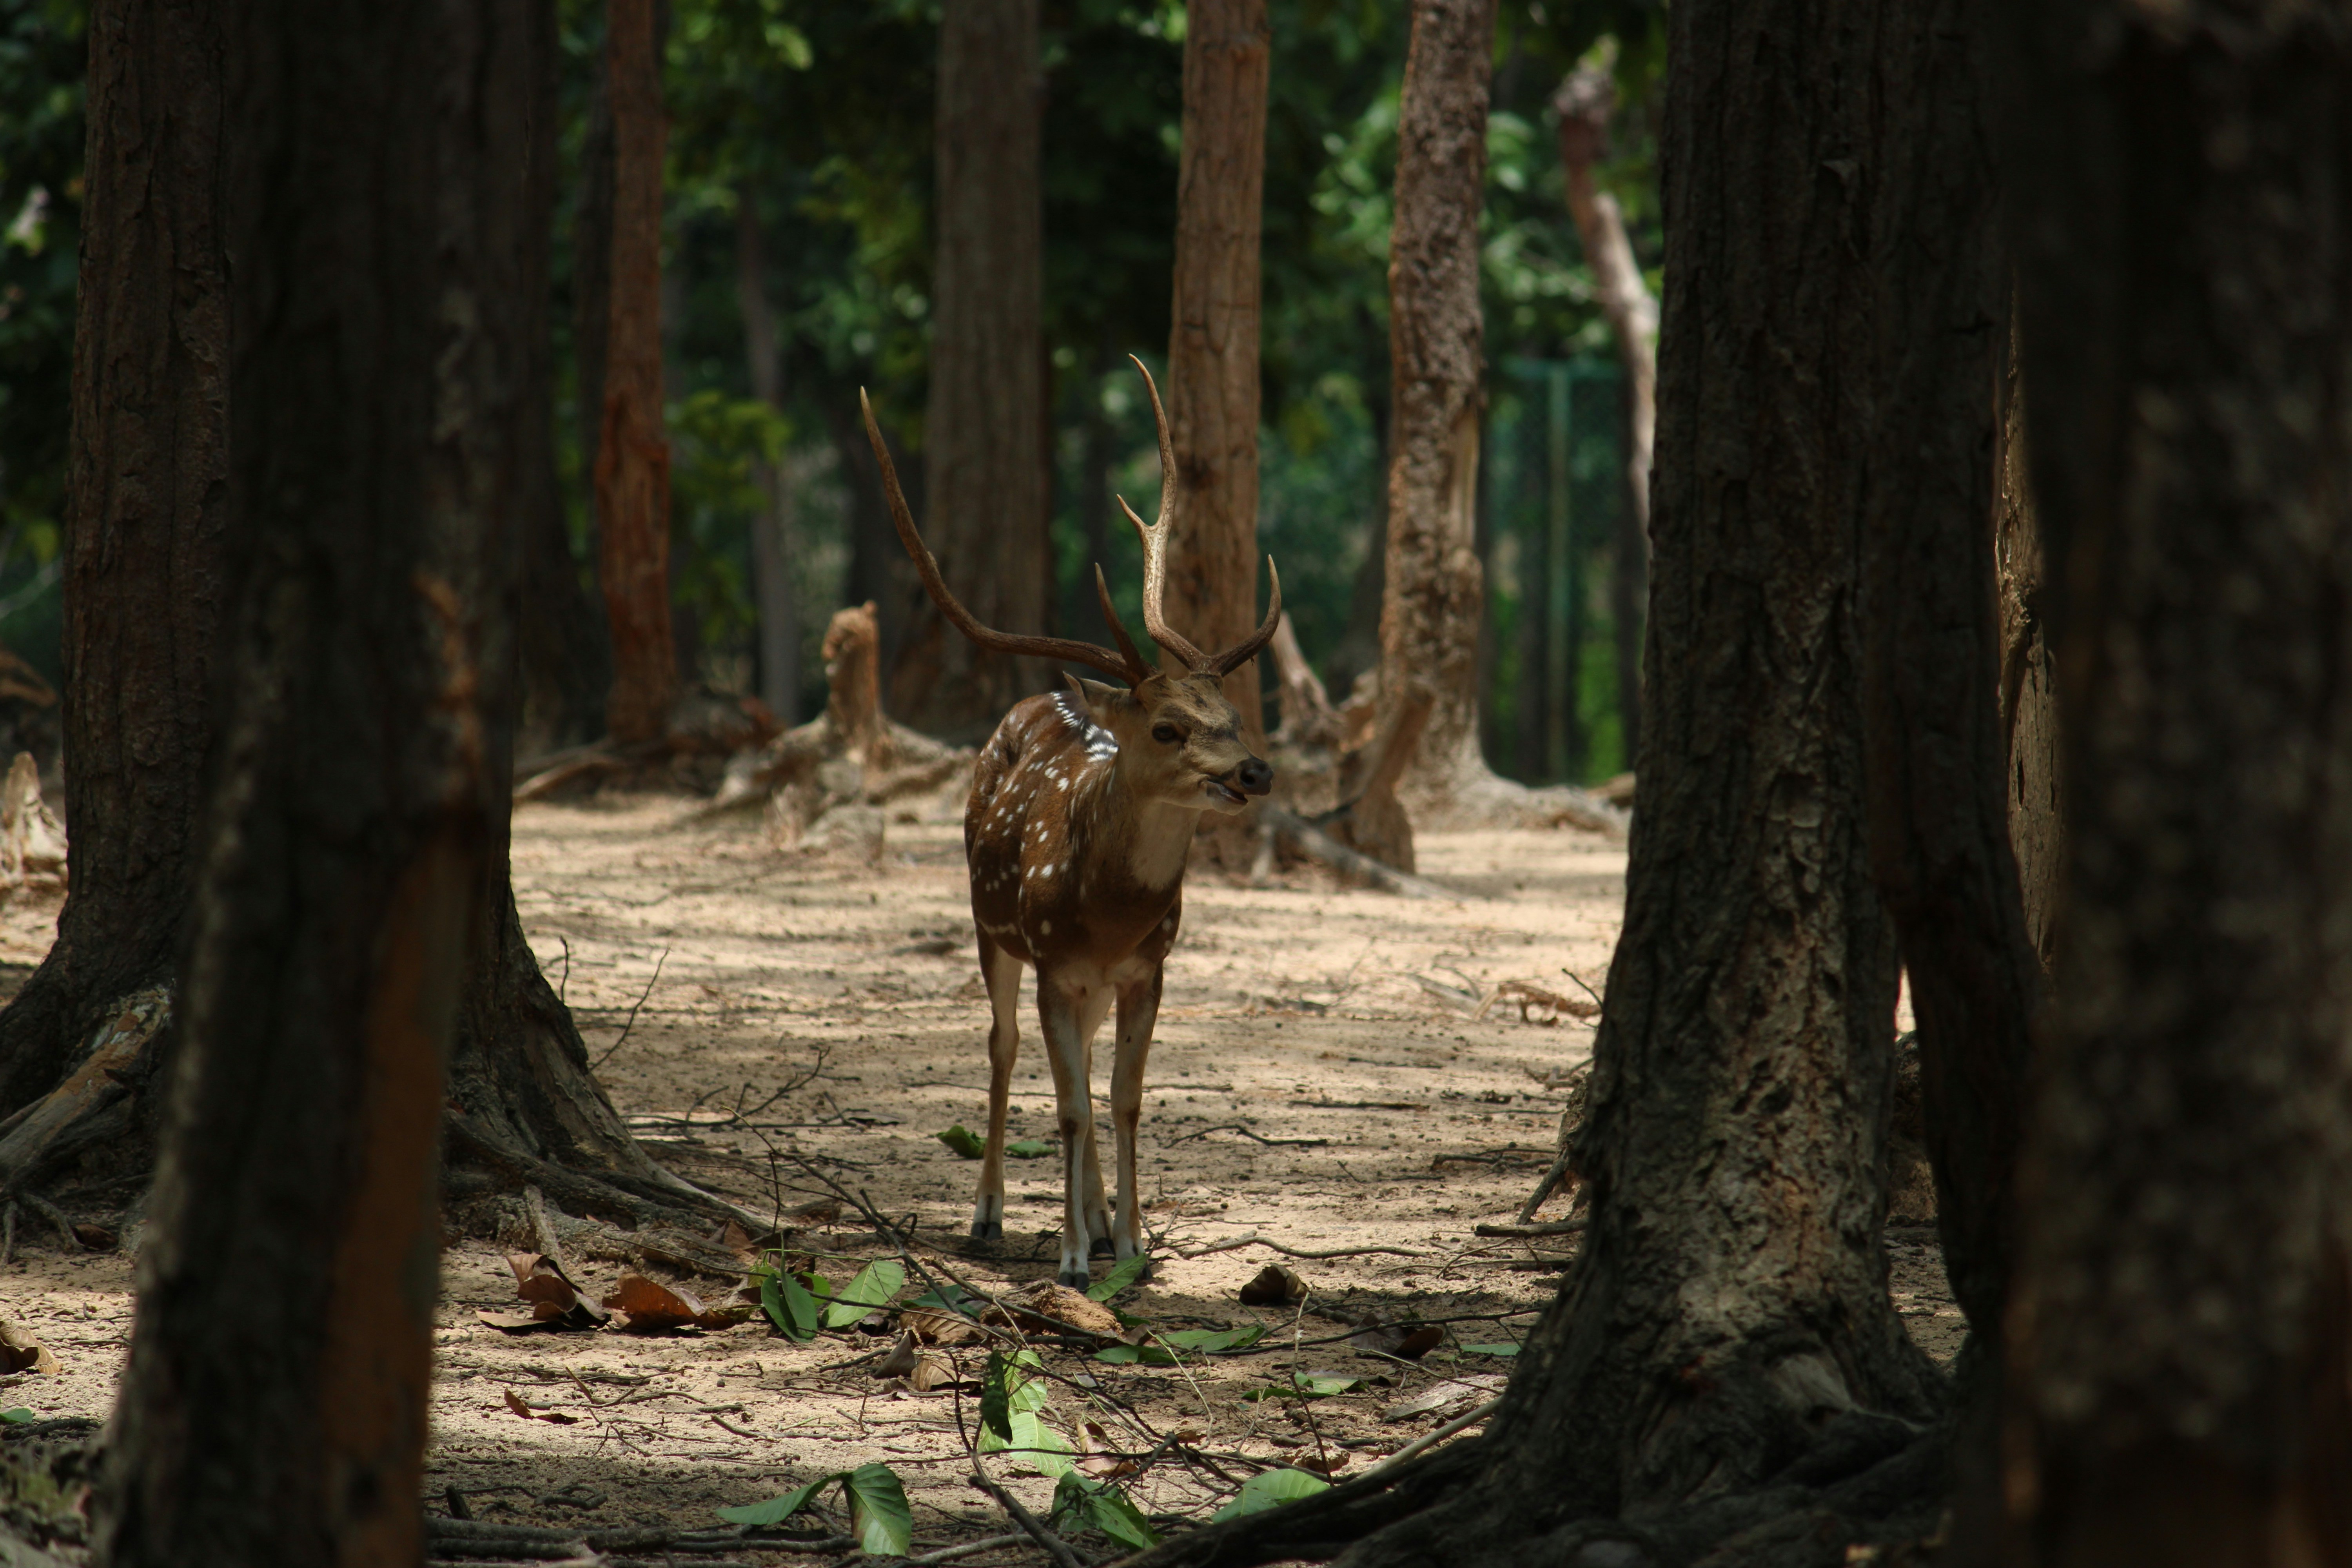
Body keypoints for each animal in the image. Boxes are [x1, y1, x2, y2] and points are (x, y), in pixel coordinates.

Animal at [860, 358, 1278, 1287]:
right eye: (1168, 729)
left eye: (1231, 714)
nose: (1255, 771)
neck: (1108, 910)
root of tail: (1038, 698)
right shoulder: (1053, 959)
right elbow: (1071, 1108)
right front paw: (1076, 1259)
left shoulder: (1148, 967)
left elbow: (1121, 1101)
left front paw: (1133, 1241)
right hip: (992, 927)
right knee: (1004, 1046)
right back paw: (990, 1213)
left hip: (1083, 979)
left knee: (1077, 1067)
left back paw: (1094, 1213)